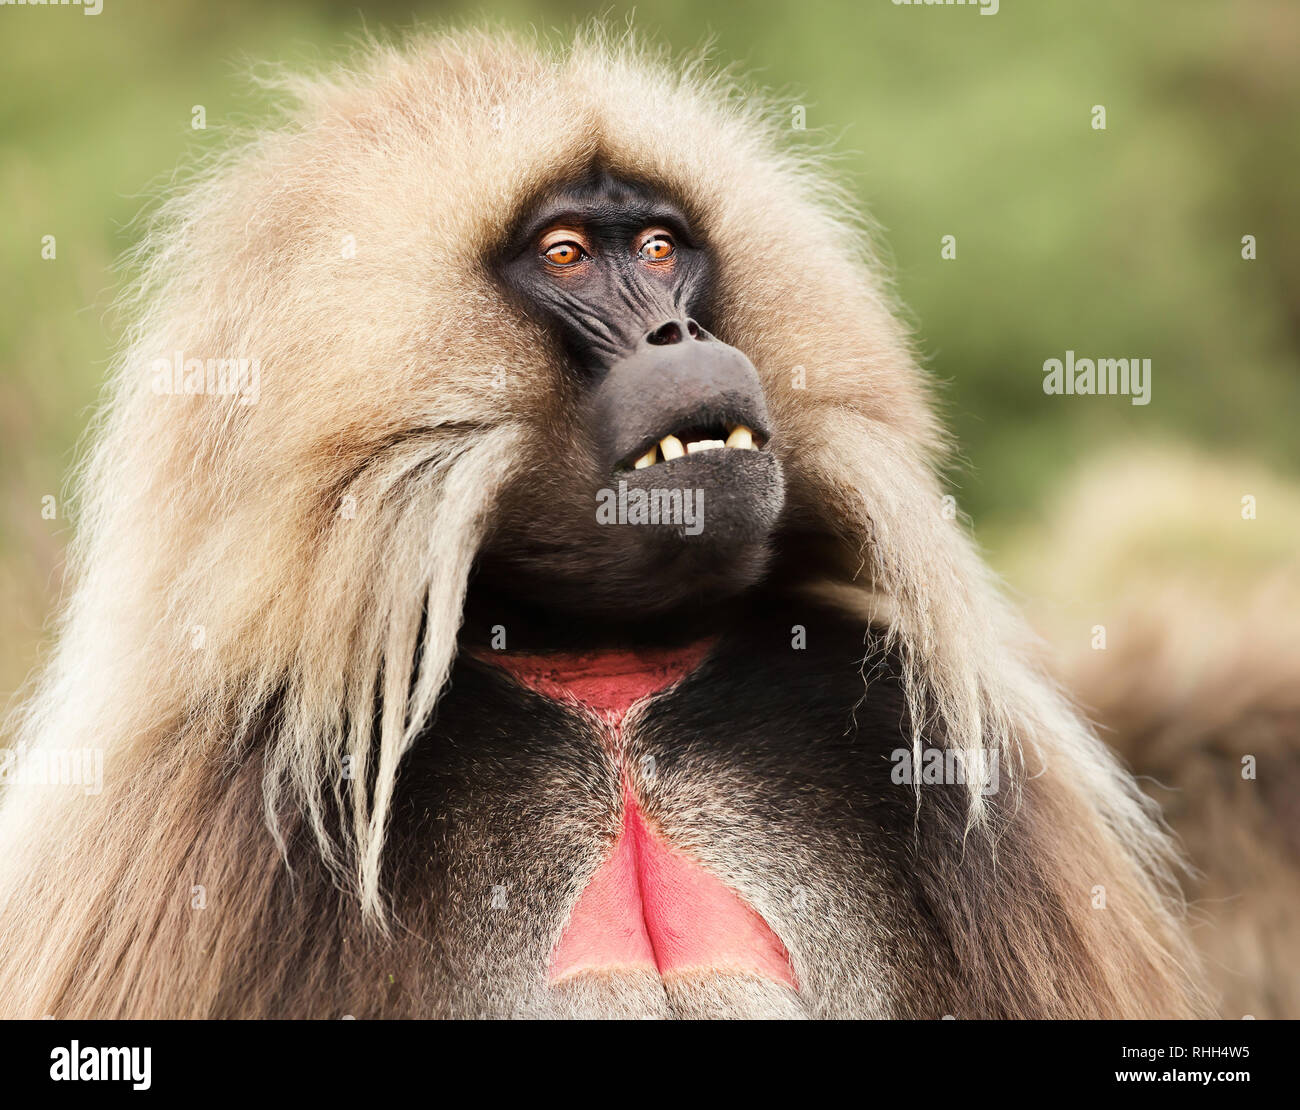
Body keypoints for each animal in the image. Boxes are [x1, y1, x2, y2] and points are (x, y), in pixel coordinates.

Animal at [0, 29, 1209, 1019]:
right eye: (569, 255)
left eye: (664, 248)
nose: (681, 336)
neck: (605, 669)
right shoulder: (203, 809)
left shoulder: (941, 743)